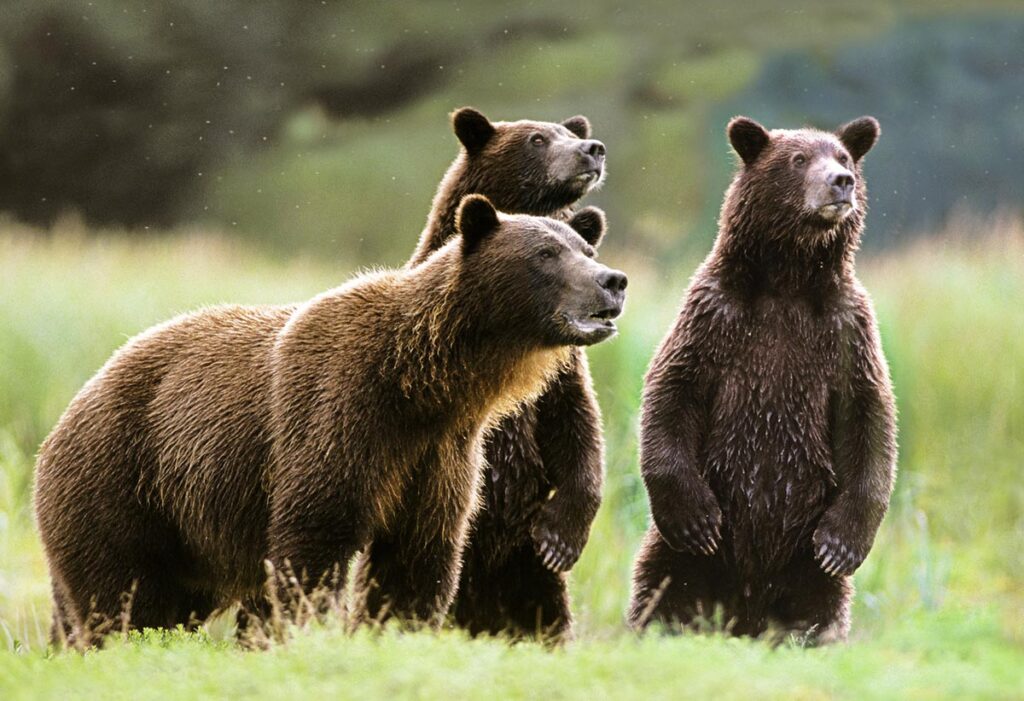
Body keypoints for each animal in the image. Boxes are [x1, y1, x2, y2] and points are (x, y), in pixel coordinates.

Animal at [33, 194, 627, 646]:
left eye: (586, 248)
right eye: (546, 252)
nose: (612, 281)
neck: (423, 383)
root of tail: (61, 419)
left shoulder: (439, 452)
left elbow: (418, 555)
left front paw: (396, 628)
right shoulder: (341, 413)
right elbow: (316, 537)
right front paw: (307, 627)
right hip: (126, 480)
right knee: (123, 593)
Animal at [401, 107, 610, 641]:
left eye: (569, 132)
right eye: (537, 139)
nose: (592, 149)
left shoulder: (560, 368)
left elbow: (577, 424)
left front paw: (561, 536)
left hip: (526, 572)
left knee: (548, 616)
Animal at [627, 116, 897, 644]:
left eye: (844, 156)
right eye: (798, 159)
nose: (841, 182)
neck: (788, 282)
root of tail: (745, 613)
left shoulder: (846, 332)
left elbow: (870, 417)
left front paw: (843, 542)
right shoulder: (714, 319)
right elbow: (672, 390)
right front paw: (696, 519)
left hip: (803, 564)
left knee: (820, 608)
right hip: (684, 561)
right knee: (662, 590)